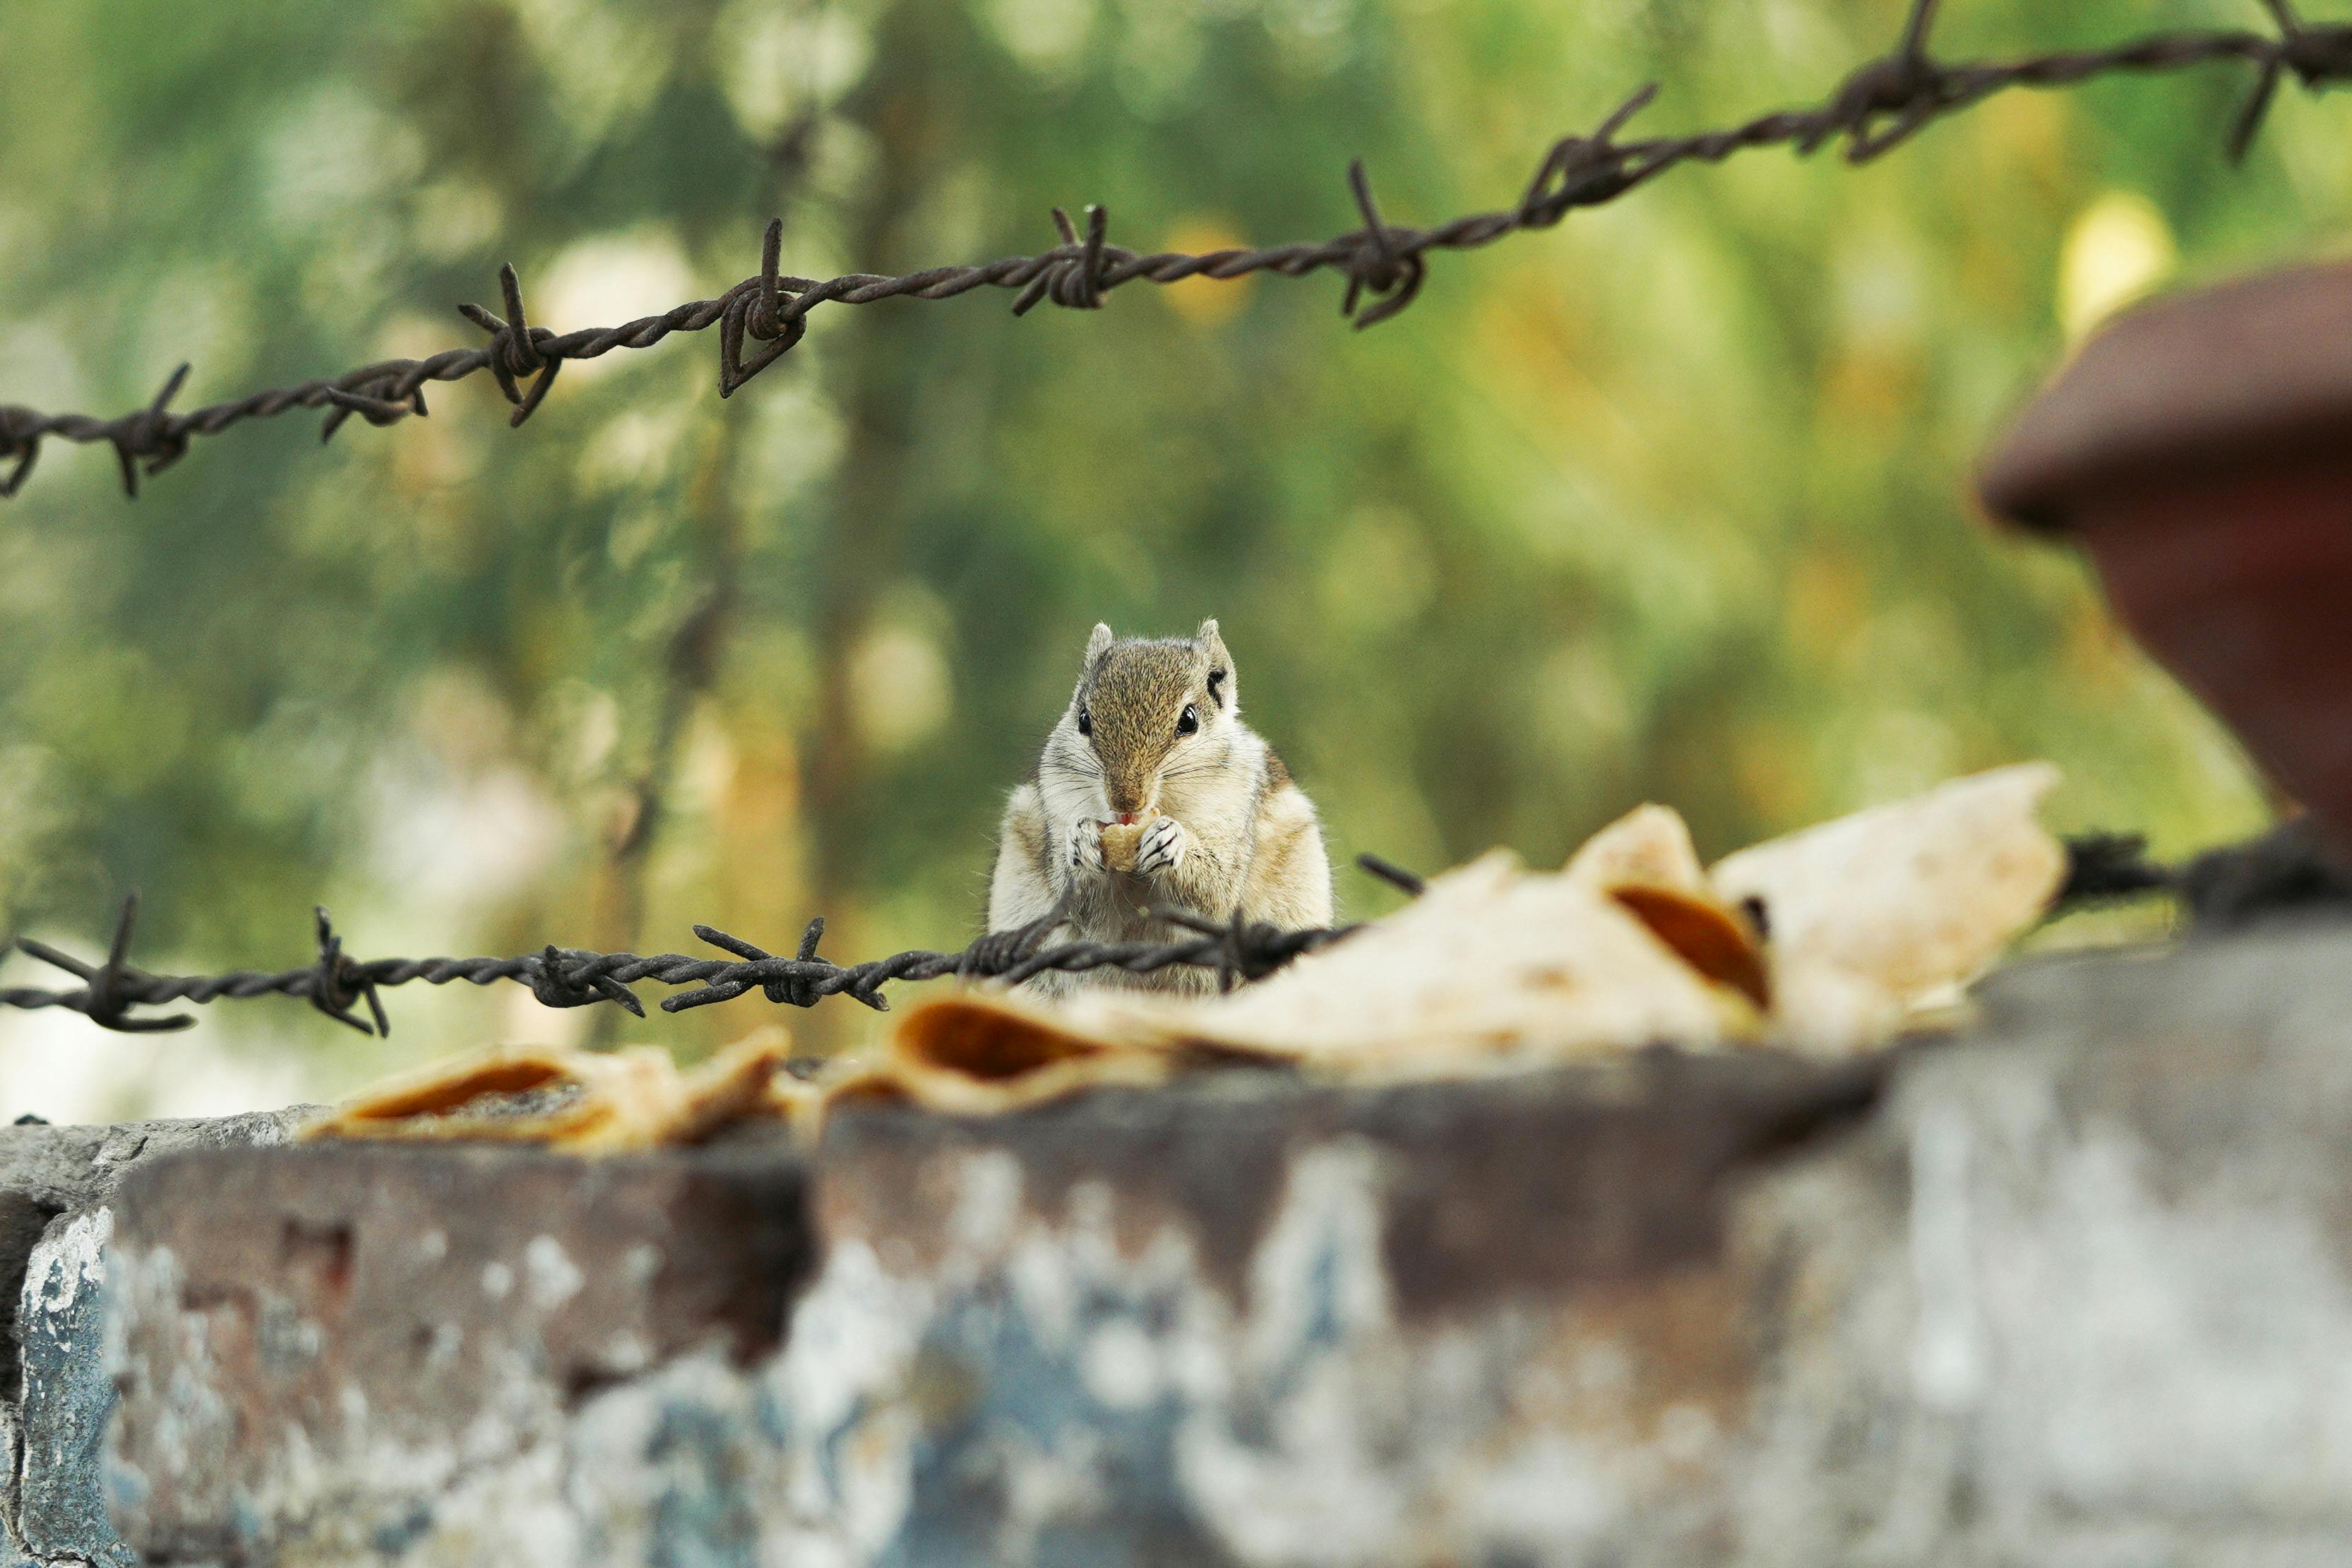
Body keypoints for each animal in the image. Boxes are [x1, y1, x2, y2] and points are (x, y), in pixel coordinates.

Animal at [987, 619, 1334, 999]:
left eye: (1189, 720)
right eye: (1083, 720)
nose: (1126, 801)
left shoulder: (1235, 812)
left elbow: (1217, 889)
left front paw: (1171, 842)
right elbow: (1080, 906)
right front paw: (1081, 841)